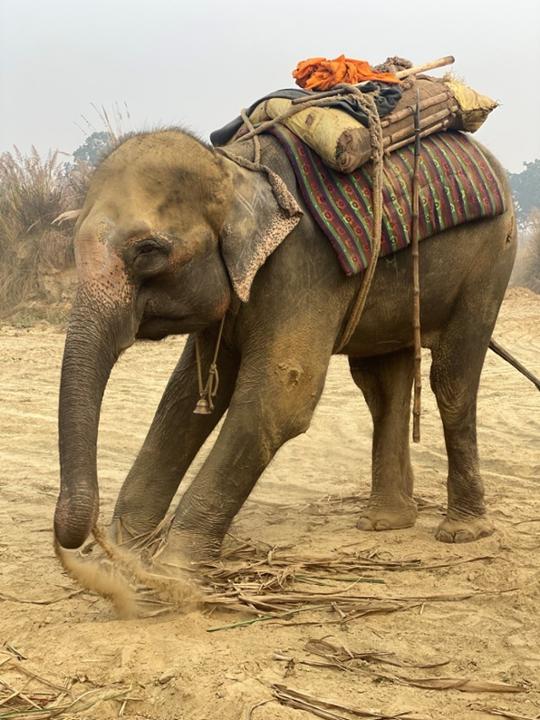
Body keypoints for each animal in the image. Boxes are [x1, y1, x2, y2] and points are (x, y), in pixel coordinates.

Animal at [53, 127, 516, 566]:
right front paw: (121, 559)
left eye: (149, 251)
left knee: (451, 381)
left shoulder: (303, 266)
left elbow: (279, 401)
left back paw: (462, 531)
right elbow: (184, 400)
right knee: (382, 387)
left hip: (491, 259)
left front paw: (169, 569)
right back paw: (384, 522)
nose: (84, 540)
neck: (235, 167)